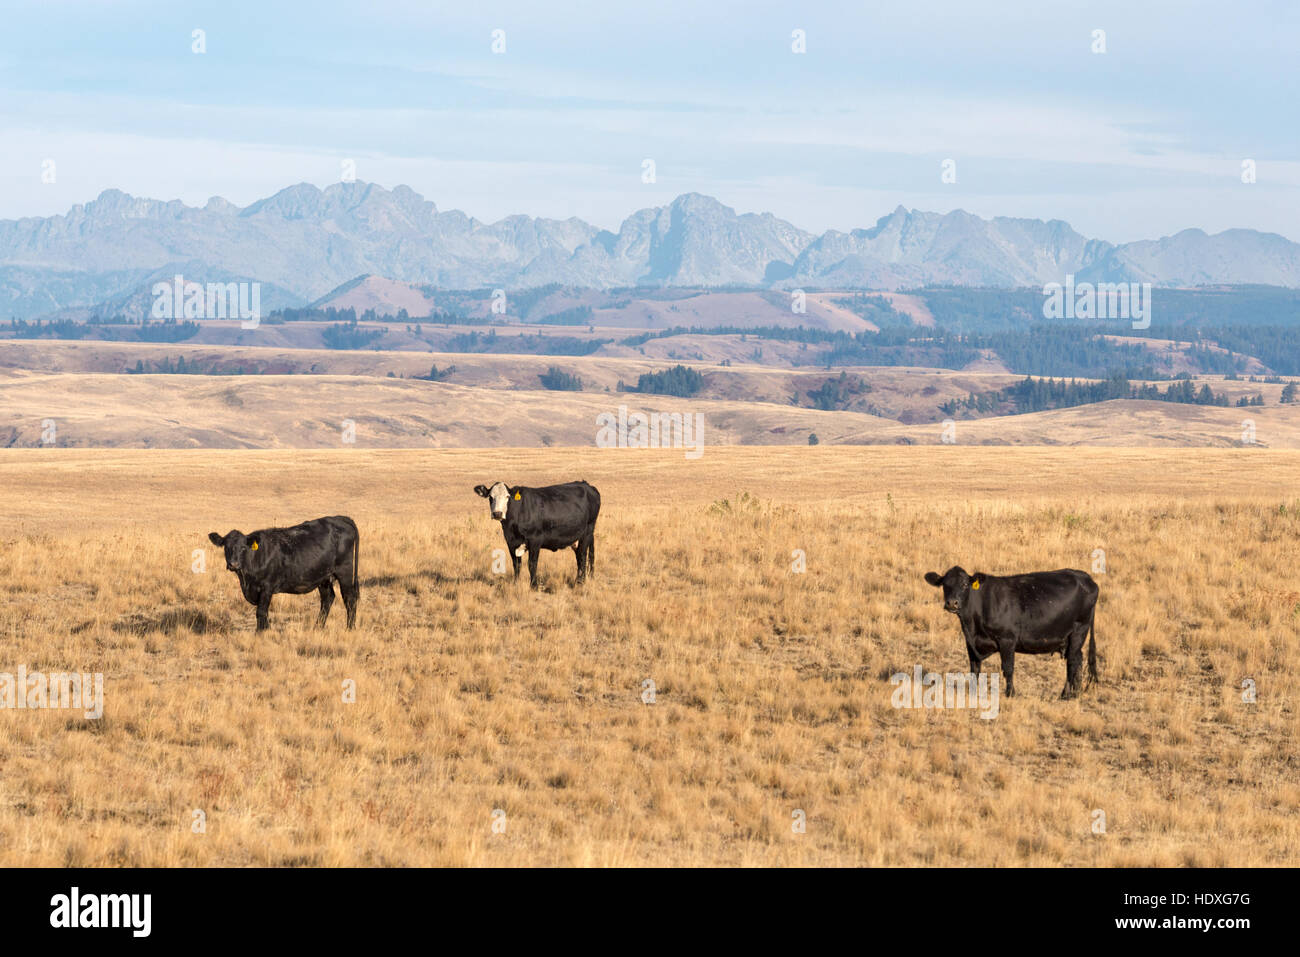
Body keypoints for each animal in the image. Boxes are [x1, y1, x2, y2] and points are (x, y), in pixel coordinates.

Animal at [208, 516, 359, 631]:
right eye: (226, 547)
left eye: (243, 548)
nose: (233, 564)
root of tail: (341, 518)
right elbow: (264, 612)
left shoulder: (267, 587)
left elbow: (261, 612)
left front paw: (260, 633)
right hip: (323, 577)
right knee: (327, 599)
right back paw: (317, 628)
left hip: (345, 571)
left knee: (349, 599)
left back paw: (350, 628)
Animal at [923, 566, 1098, 699]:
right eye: (945, 584)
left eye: (965, 584)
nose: (952, 603)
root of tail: (1085, 576)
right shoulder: (970, 642)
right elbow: (975, 668)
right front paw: (972, 692)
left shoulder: (1007, 639)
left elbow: (1008, 668)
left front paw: (1010, 694)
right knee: (1078, 659)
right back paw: (1076, 693)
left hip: (1079, 629)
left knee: (1072, 662)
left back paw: (1065, 695)